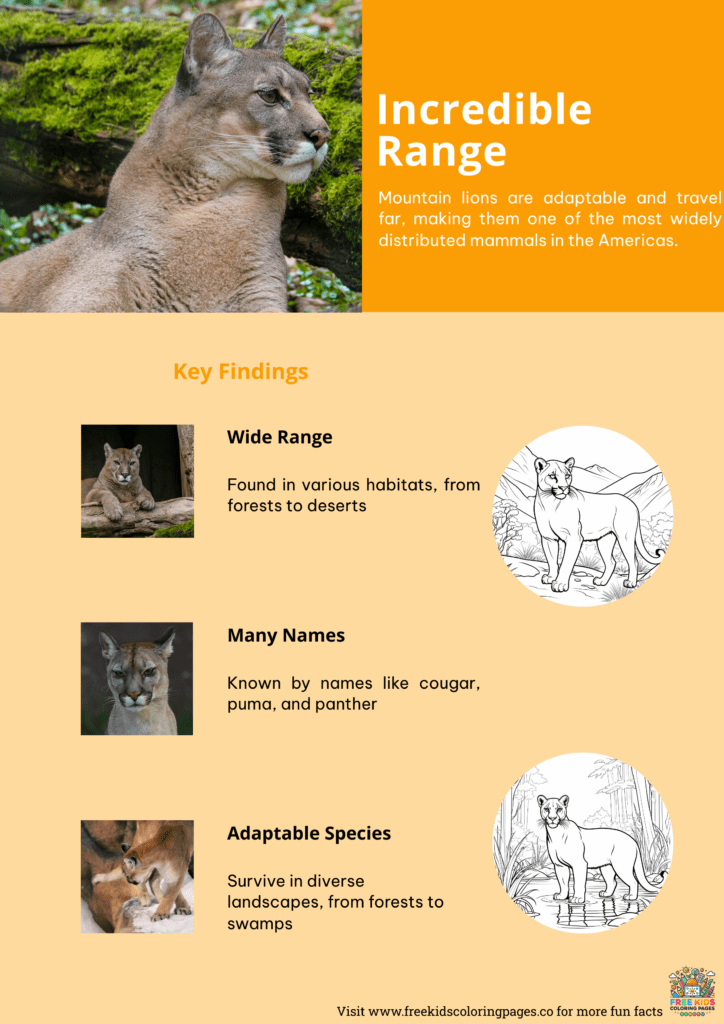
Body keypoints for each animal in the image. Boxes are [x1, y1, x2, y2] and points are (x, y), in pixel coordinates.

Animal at [533, 457, 665, 592]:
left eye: (567, 476)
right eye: (552, 476)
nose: (563, 487)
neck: (549, 502)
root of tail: (632, 503)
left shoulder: (574, 538)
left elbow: (566, 563)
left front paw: (560, 584)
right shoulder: (548, 538)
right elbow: (551, 560)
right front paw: (550, 577)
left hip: (625, 537)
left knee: (633, 561)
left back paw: (630, 583)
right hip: (604, 541)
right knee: (611, 562)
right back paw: (601, 581)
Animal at [537, 795, 666, 903]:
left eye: (559, 809)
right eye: (546, 809)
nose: (552, 818)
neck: (556, 834)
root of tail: (633, 840)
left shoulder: (579, 864)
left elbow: (578, 883)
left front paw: (577, 898)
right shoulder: (559, 866)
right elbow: (563, 883)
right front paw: (562, 896)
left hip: (621, 866)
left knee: (633, 881)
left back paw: (631, 897)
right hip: (606, 867)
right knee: (612, 882)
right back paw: (606, 894)